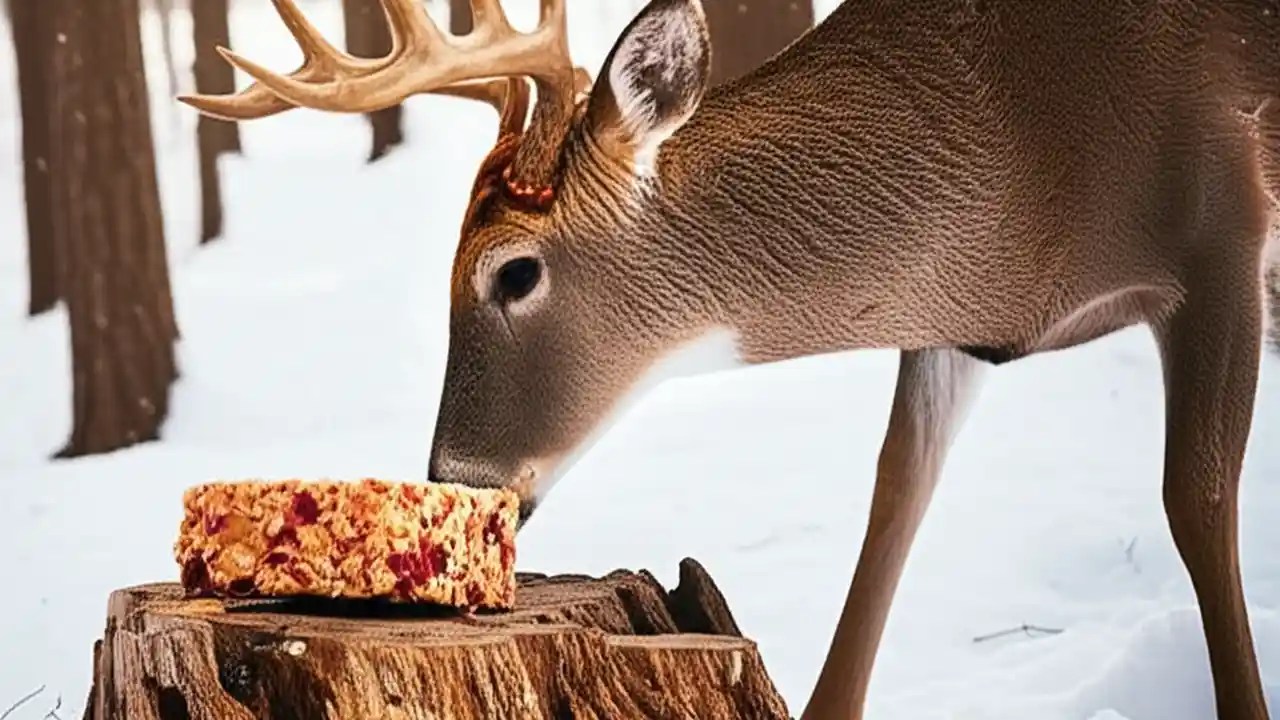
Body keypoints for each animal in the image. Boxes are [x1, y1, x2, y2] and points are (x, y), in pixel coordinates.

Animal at [181, 0, 1280, 717]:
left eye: (513, 271)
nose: (456, 478)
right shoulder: (953, 333)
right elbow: (895, 496)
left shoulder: (1223, 228)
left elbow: (1194, 498)